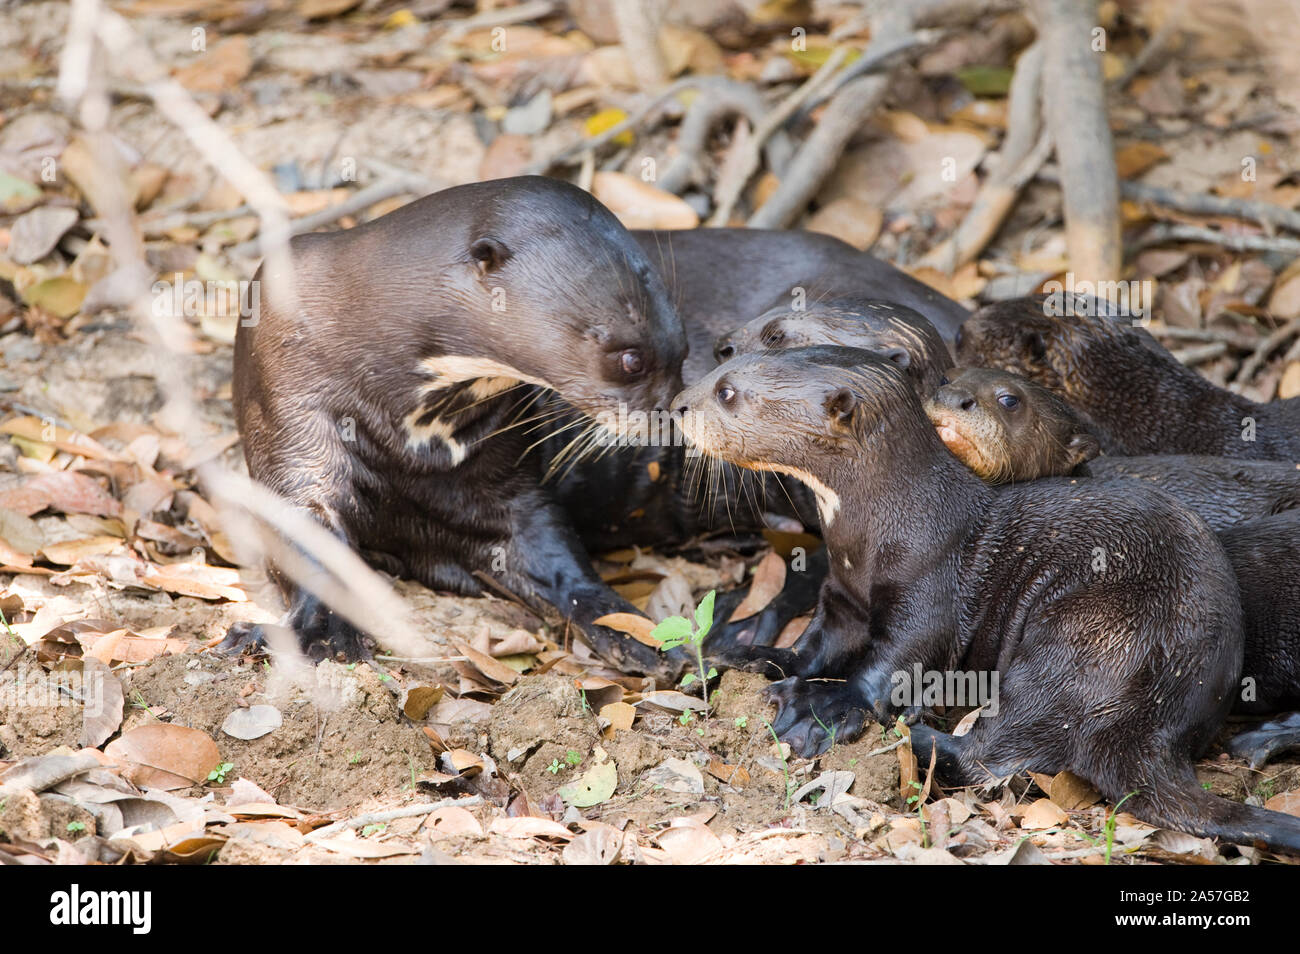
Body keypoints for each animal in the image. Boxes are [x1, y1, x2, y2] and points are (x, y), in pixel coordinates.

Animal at [226, 176, 967, 677]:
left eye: (686, 344)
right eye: (629, 356)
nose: (677, 411)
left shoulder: (505, 479)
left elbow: (558, 561)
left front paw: (636, 633)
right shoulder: (288, 411)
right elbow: (304, 531)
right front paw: (313, 632)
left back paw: (743, 625)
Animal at [675, 345, 1300, 852]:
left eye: (727, 392)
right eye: (724, 364)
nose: (678, 406)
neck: (883, 529)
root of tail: (1156, 721)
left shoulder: (928, 590)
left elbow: (896, 660)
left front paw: (820, 708)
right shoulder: (842, 596)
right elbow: (814, 644)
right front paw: (744, 657)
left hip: (1083, 637)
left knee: (997, 752)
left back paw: (915, 735)